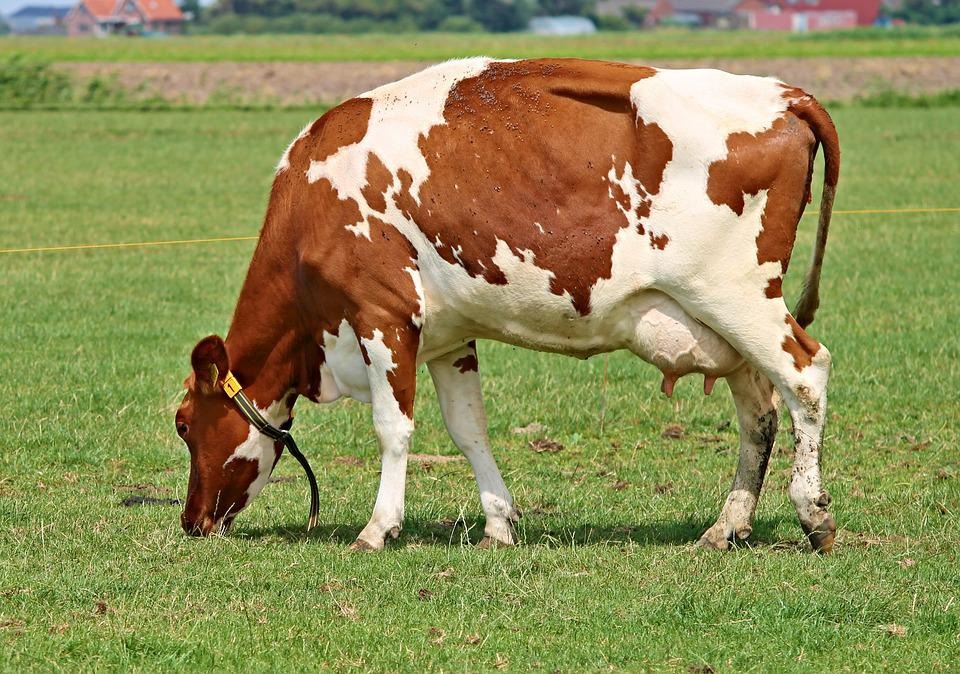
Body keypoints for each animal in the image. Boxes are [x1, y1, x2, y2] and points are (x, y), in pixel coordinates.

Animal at [175, 58, 840, 553]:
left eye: (183, 424)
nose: (191, 521)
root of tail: (785, 94)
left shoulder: (383, 318)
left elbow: (393, 427)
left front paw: (378, 528)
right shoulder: (449, 337)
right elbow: (469, 428)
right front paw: (499, 523)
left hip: (738, 298)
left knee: (806, 375)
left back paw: (813, 514)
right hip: (722, 327)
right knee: (759, 414)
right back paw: (726, 526)